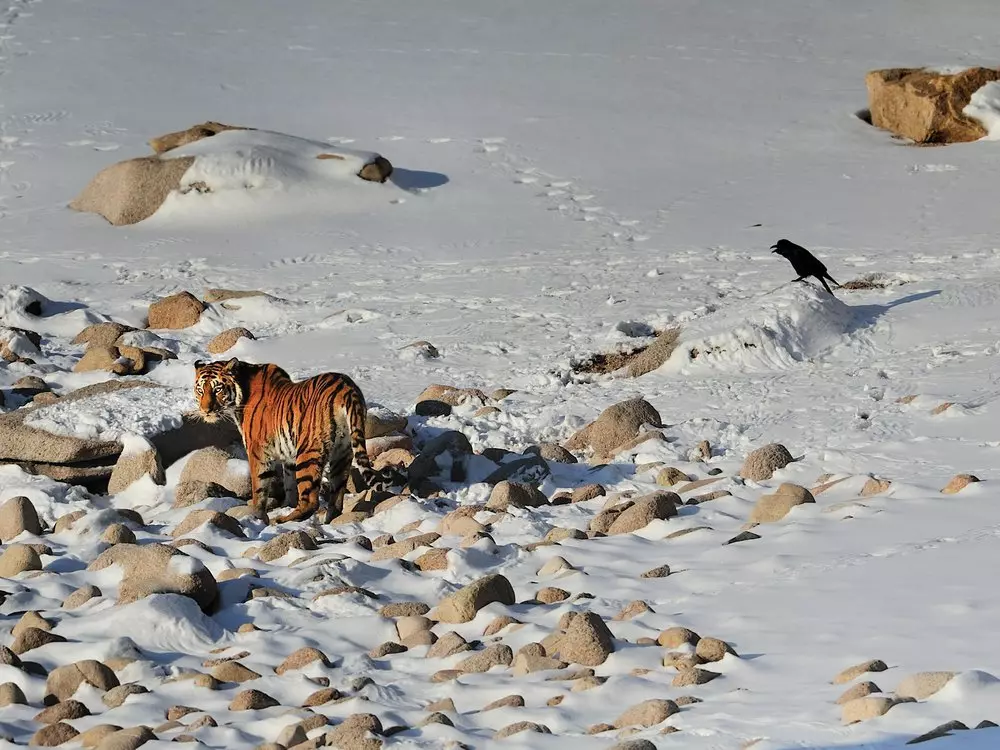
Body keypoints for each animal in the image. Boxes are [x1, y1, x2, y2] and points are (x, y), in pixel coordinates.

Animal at [190, 356, 376, 524]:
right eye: (200, 390)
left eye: (217, 389)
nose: (206, 410)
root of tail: (346, 388)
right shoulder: (289, 456)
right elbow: (290, 484)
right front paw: (287, 505)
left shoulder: (258, 452)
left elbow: (259, 489)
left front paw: (258, 518)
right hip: (342, 452)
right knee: (337, 496)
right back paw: (329, 519)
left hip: (308, 452)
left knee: (311, 501)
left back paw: (282, 520)